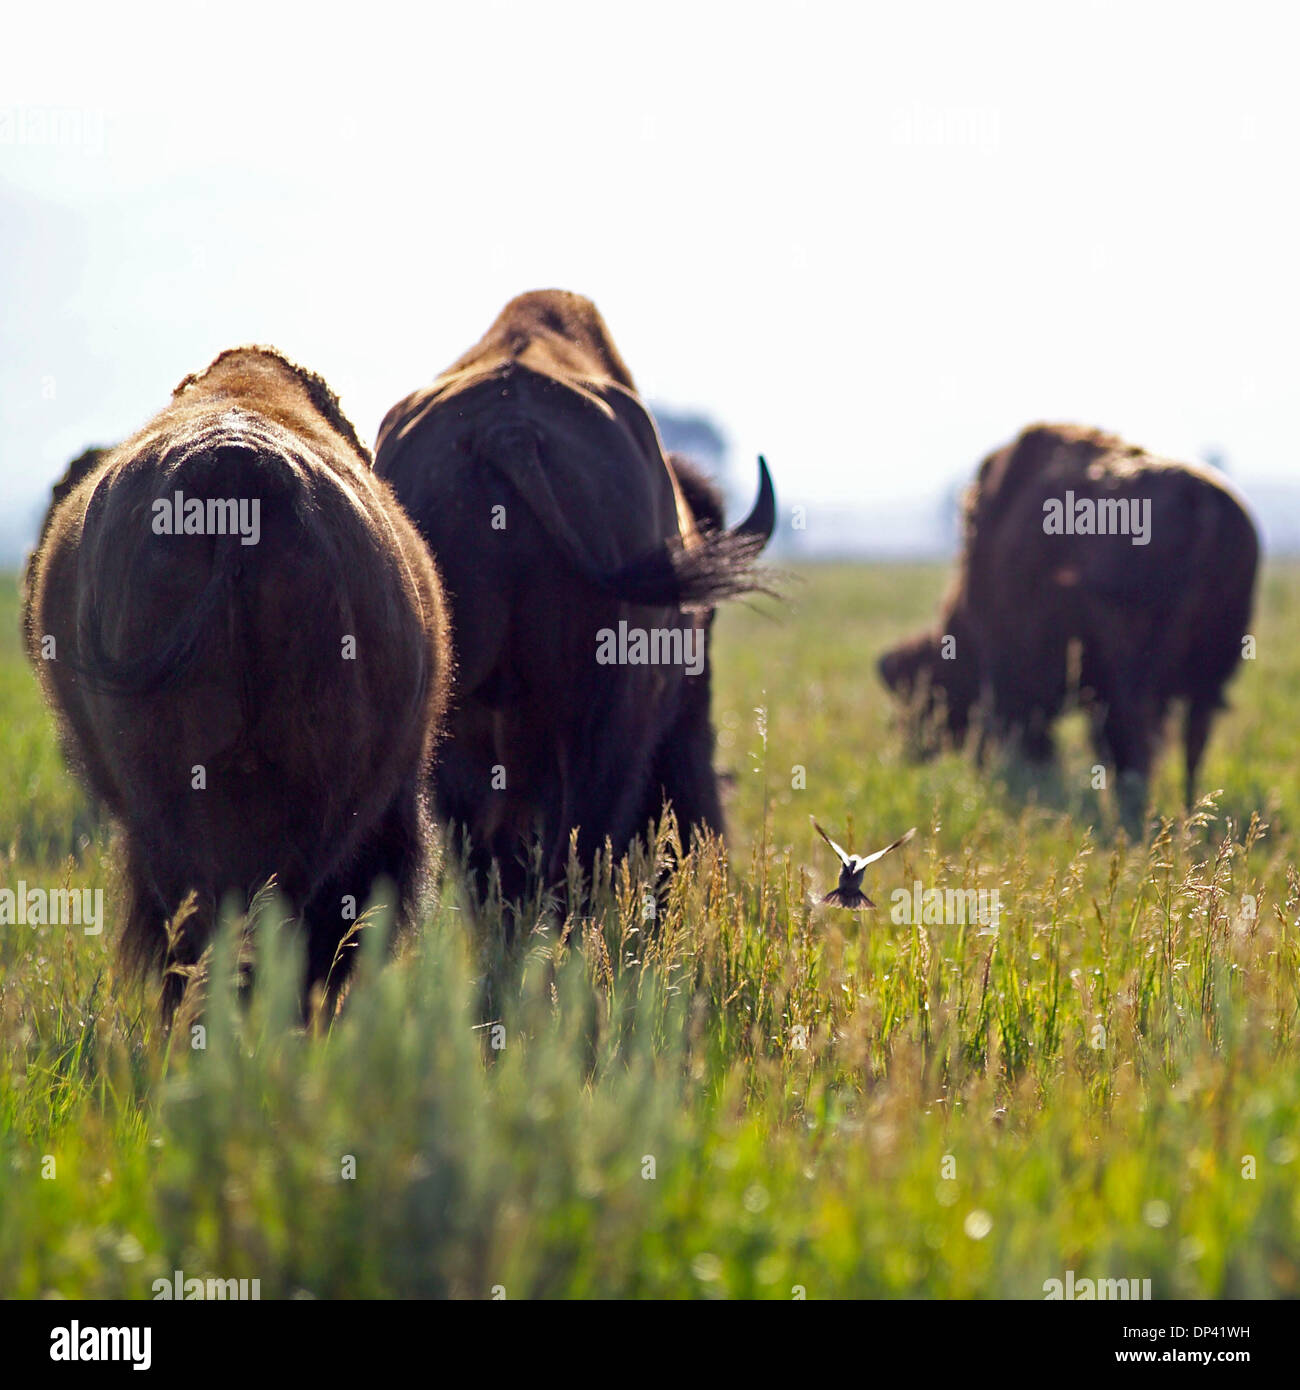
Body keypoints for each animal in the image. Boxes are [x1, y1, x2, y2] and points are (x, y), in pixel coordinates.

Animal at [878, 423, 1258, 817]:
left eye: (919, 693)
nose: (910, 747)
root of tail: (1200, 500)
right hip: (1207, 680)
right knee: (1190, 749)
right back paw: (1186, 812)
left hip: (1132, 682)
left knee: (1134, 748)